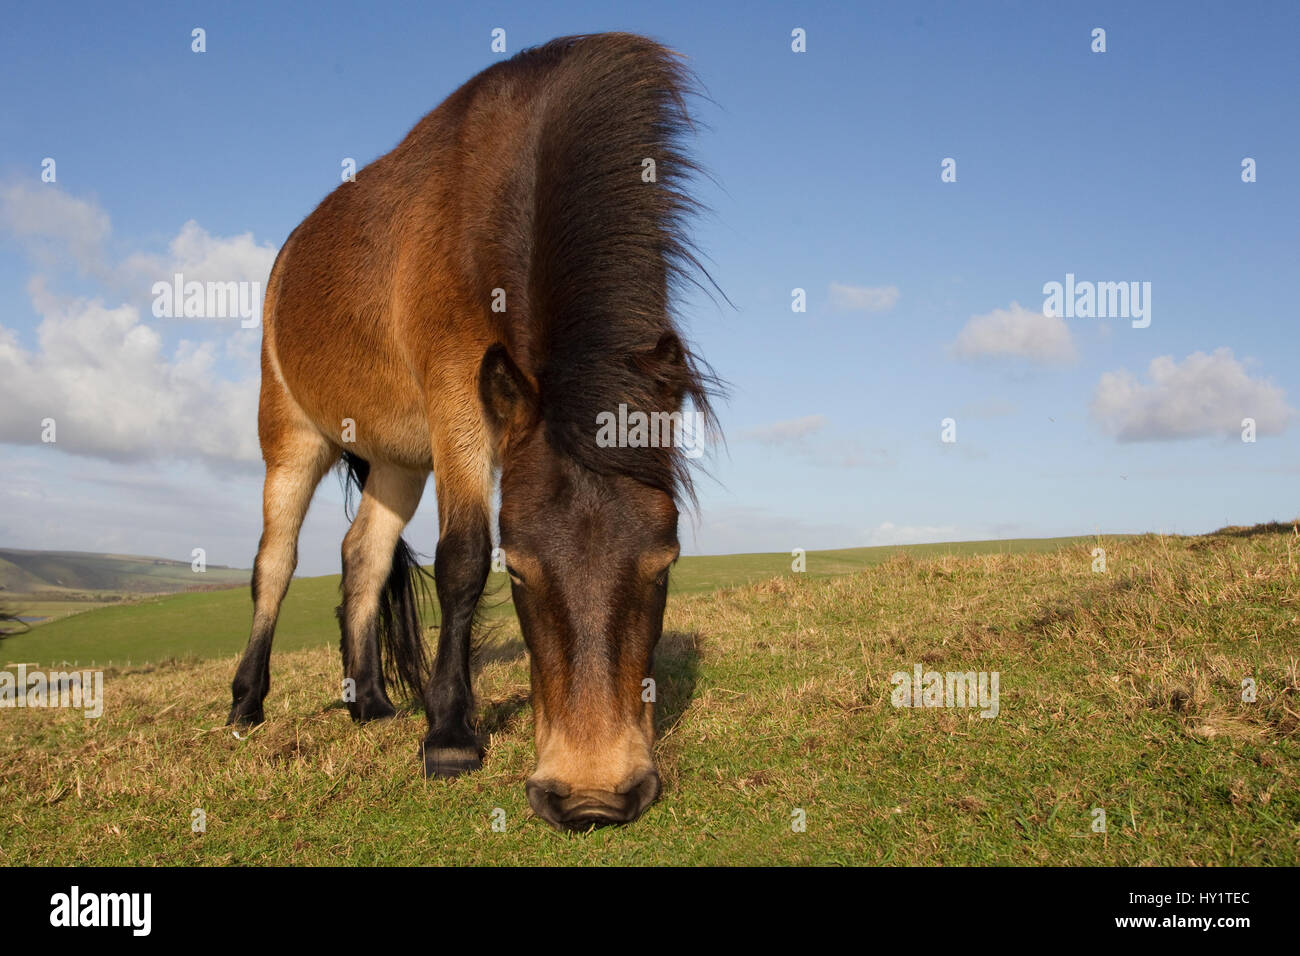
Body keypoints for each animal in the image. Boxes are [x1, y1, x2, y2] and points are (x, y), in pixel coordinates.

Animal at [227, 33, 718, 830]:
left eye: (665, 566)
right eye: (516, 570)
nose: (591, 796)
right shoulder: (458, 393)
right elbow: (460, 556)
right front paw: (451, 736)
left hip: (398, 460)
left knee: (362, 554)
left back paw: (370, 702)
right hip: (292, 435)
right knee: (275, 561)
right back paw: (245, 703)